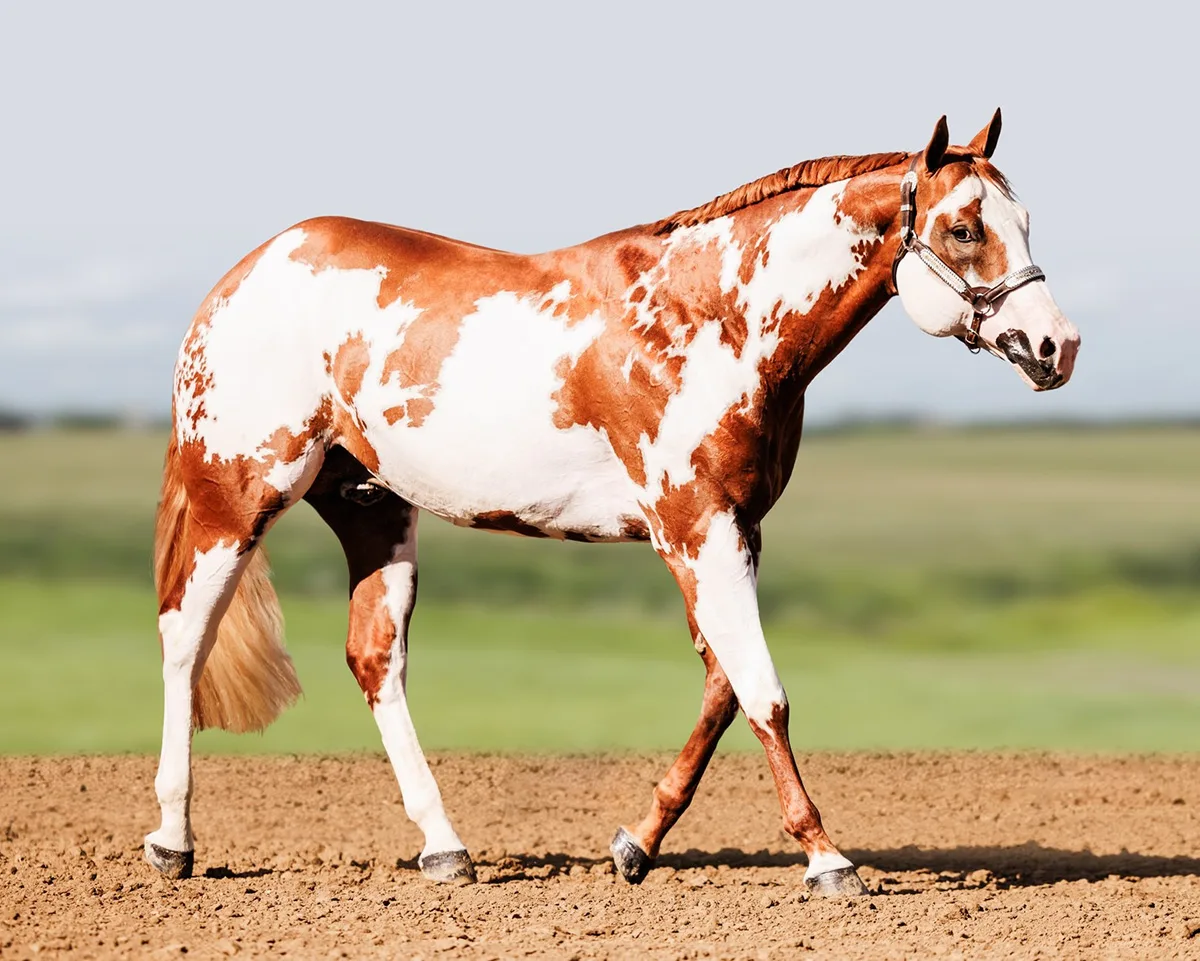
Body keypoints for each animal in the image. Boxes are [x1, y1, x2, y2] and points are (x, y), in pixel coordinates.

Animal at [145, 111, 1080, 897]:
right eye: (965, 228)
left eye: (1024, 221)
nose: (1056, 346)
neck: (708, 319)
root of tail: (240, 279)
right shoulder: (696, 530)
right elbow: (763, 690)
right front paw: (826, 858)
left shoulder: (727, 532)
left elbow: (722, 687)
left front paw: (636, 843)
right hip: (238, 500)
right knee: (185, 639)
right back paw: (173, 841)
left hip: (373, 510)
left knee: (377, 660)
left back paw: (446, 848)